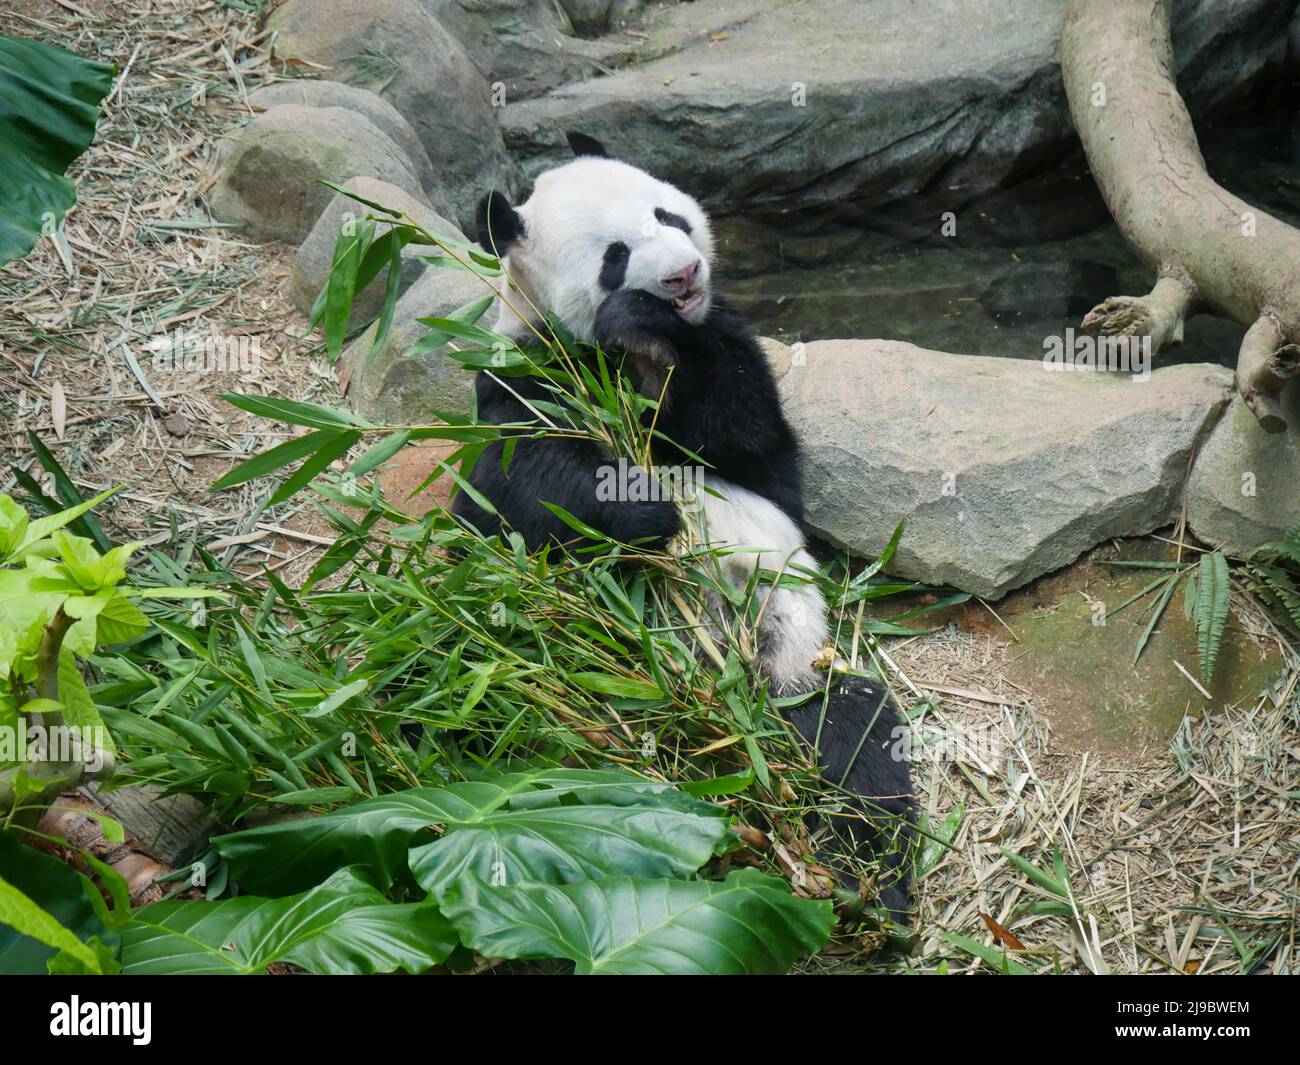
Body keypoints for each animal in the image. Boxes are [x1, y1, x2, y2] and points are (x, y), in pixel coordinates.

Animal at [453, 132, 915, 919]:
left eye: (668, 215)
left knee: (859, 747)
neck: (619, 361)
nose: (684, 272)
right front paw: (647, 507)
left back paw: (867, 882)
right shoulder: (523, 368)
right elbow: (517, 482)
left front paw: (655, 330)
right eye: (613, 255)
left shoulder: (726, 349)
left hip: (799, 673)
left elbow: (755, 444)